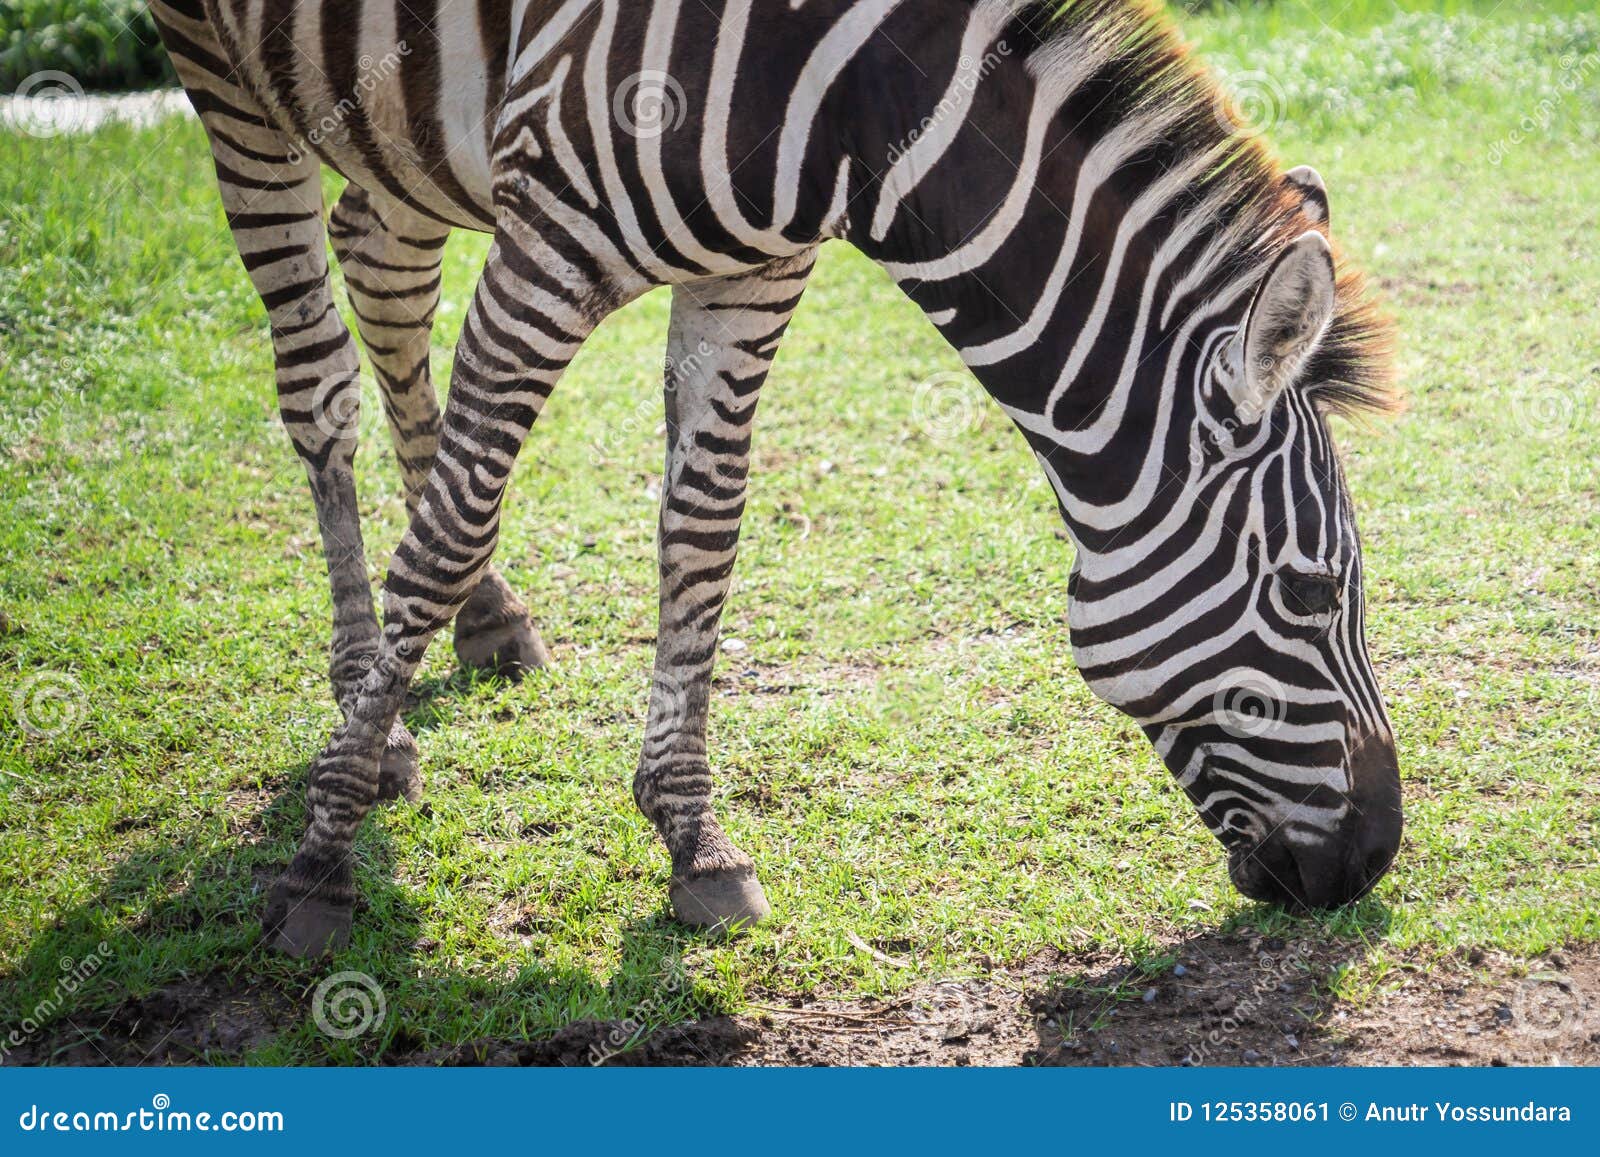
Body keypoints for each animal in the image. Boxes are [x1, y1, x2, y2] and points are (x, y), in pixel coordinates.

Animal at [148, 0, 1404, 956]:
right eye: (1307, 591)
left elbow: (704, 527)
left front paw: (693, 838)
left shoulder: (754, 270)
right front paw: (319, 865)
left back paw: (486, 624)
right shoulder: (547, 246)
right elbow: (455, 523)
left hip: (394, 116)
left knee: (381, 267)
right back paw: (372, 714)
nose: (1371, 857)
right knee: (318, 384)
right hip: (228, 74)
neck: (851, 96)